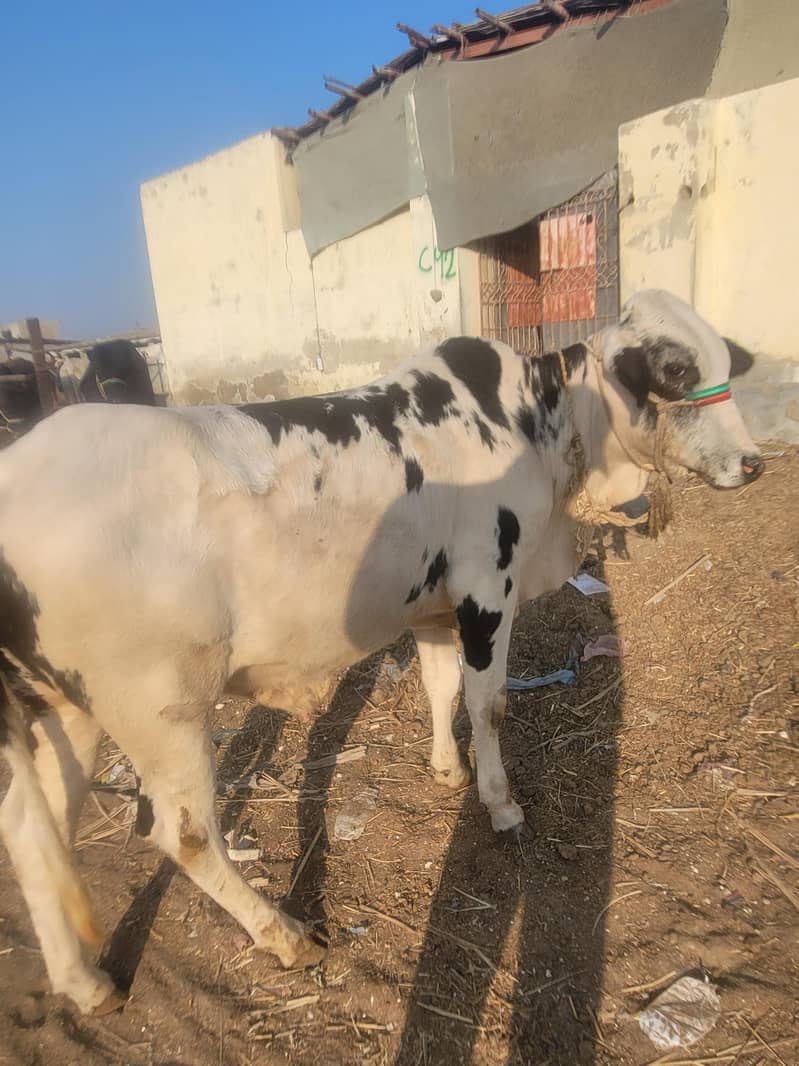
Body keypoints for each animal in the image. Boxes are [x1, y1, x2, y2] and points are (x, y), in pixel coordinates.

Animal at [0, 290, 762, 1014]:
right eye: (674, 368)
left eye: (725, 359)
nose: (753, 463)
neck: (538, 423)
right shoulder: (488, 586)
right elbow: (488, 704)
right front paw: (499, 803)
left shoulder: (431, 605)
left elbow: (441, 688)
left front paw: (447, 770)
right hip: (162, 708)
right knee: (183, 836)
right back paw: (282, 934)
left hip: (65, 709)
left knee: (32, 831)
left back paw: (84, 983)